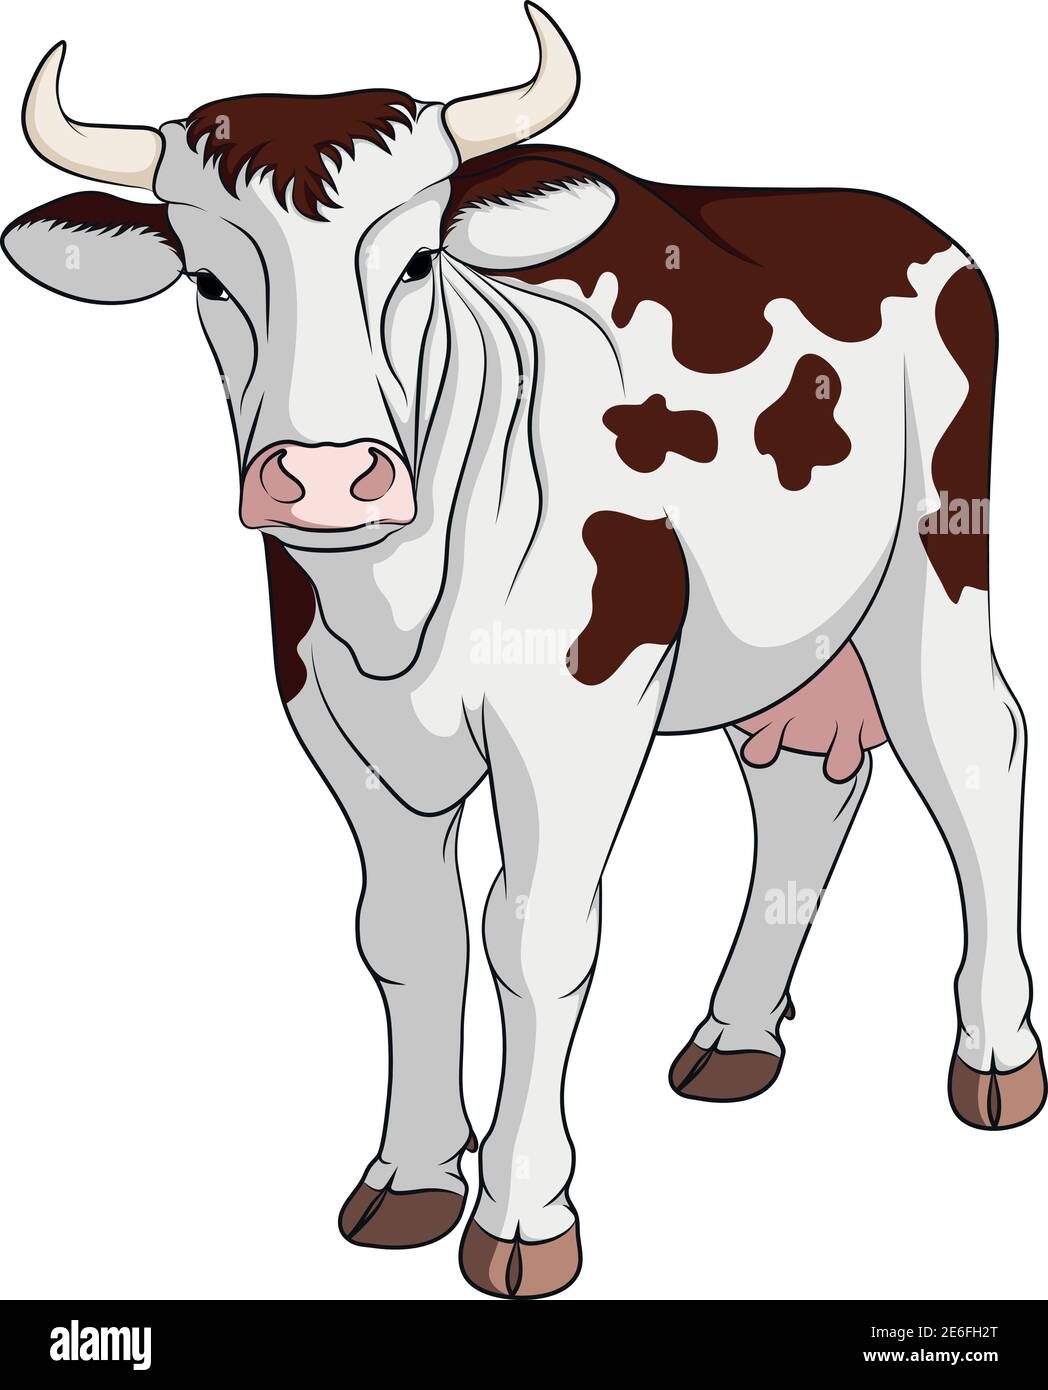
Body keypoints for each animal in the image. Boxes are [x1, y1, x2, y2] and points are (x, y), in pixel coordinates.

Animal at [4, 4, 1043, 1300]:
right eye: (207, 279)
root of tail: (883, 219)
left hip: (933, 559)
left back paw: (994, 1055)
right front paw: (408, 1177)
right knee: (803, 777)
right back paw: (735, 1033)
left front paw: (519, 1212)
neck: (395, 604)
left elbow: (533, 937)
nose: (328, 477)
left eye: (415, 262)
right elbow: (407, 939)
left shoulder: (576, 712)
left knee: (973, 751)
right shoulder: (338, 726)